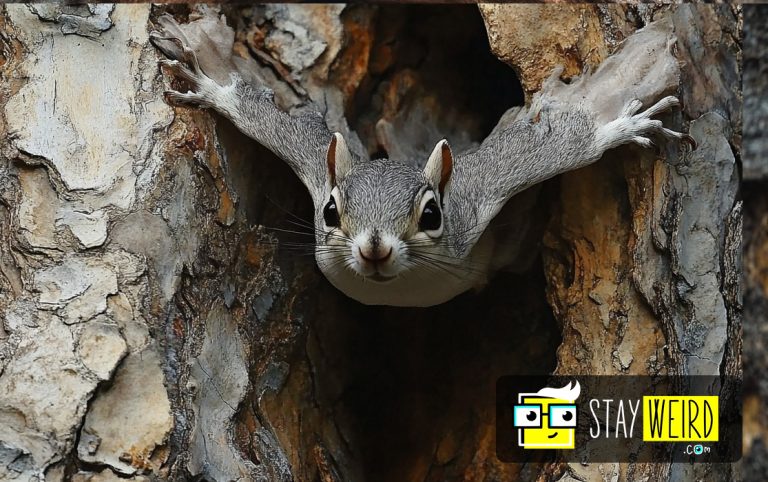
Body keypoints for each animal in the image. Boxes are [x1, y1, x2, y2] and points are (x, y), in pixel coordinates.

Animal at [151, 13, 695, 307]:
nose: (374, 248)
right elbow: (251, 108)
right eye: (330, 211)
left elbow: (575, 137)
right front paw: (209, 80)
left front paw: (622, 122)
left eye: (432, 215)